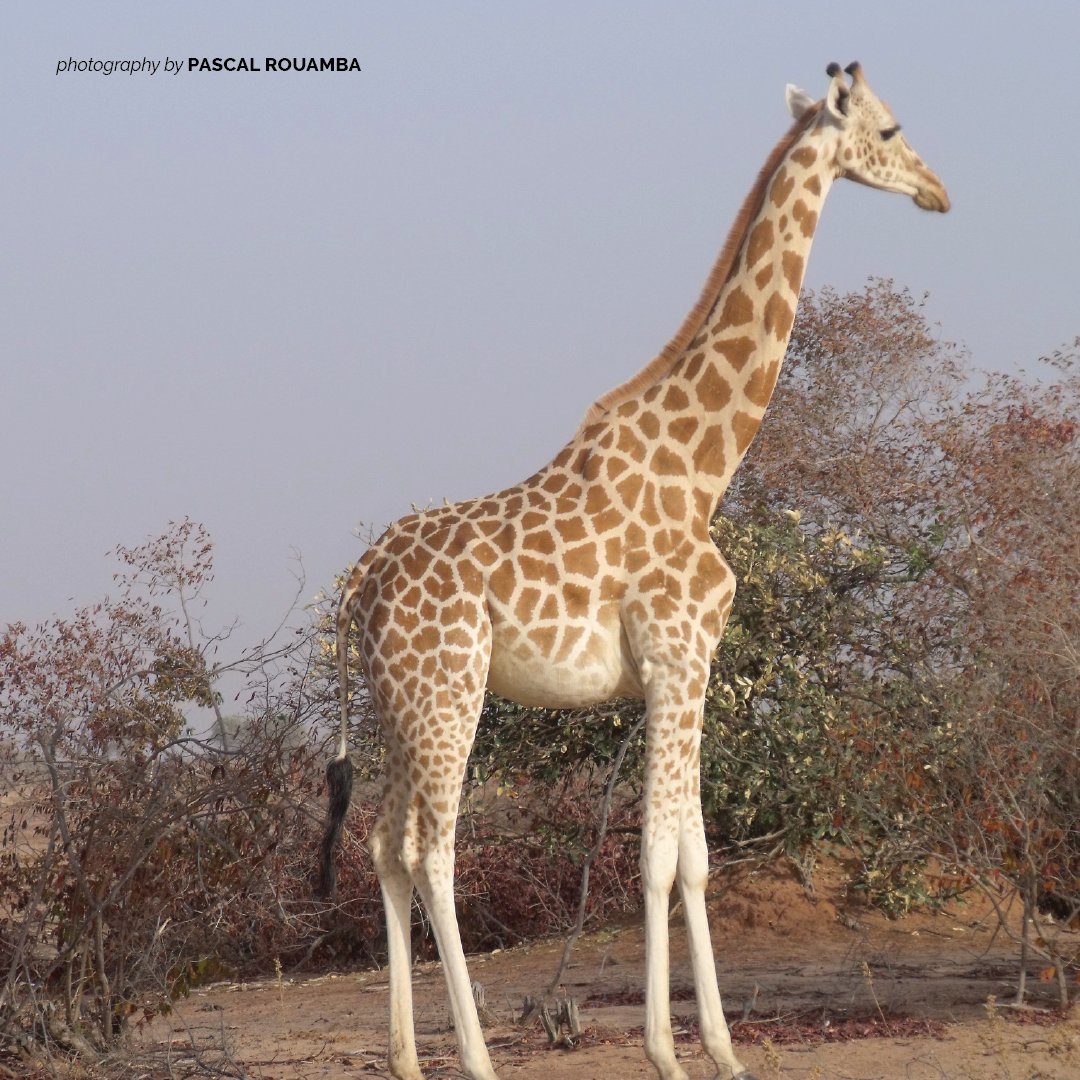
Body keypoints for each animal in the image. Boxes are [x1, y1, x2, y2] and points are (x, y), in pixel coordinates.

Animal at [321, 62, 948, 1080]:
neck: (702, 469)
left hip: (399, 703)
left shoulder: (690, 670)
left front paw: (725, 1051)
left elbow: (694, 856)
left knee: (381, 842)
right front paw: (667, 1050)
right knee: (432, 851)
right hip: (449, 691)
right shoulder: (673, 662)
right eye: (890, 130)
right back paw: (478, 1059)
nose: (939, 192)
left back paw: (410, 1058)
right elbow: (657, 858)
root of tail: (358, 583)